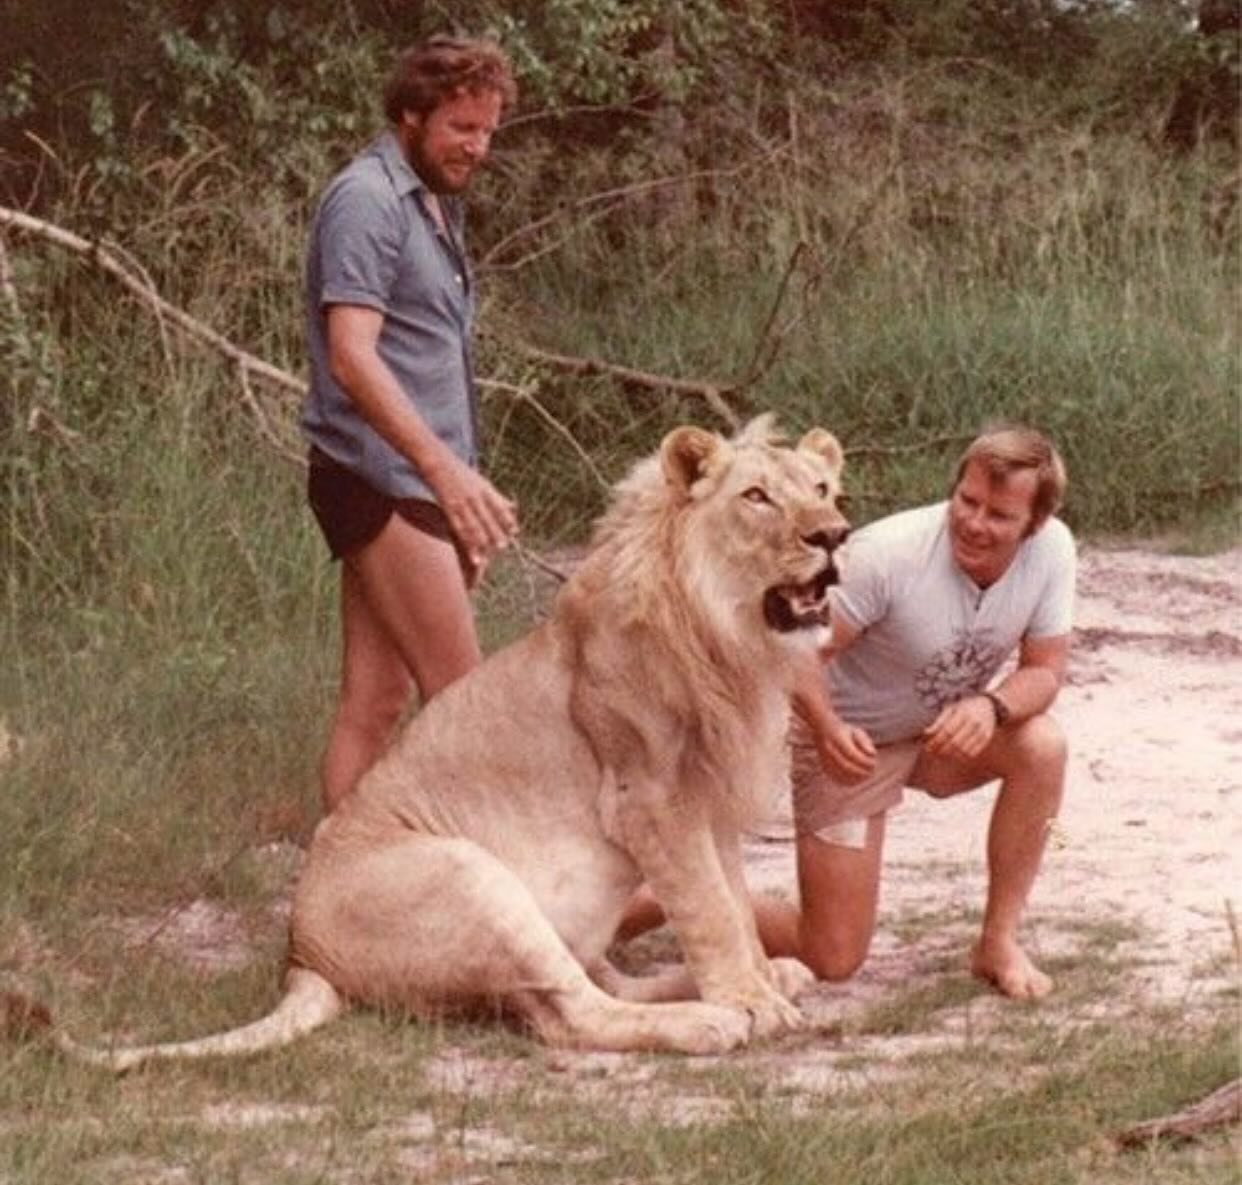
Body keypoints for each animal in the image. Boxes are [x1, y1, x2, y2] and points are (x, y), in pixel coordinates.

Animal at [9, 415, 849, 1067]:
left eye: (823, 490)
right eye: (757, 496)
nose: (835, 536)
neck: (729, 636)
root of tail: (300, 953)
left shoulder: (707, 801)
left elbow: (731, 901)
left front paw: (760, 984)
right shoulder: (651, 796)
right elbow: (709, 909)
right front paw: (750, 1001)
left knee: (590, 983)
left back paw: (766, 977)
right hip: (470, 875)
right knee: (569, 1012)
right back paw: (710, 1018)